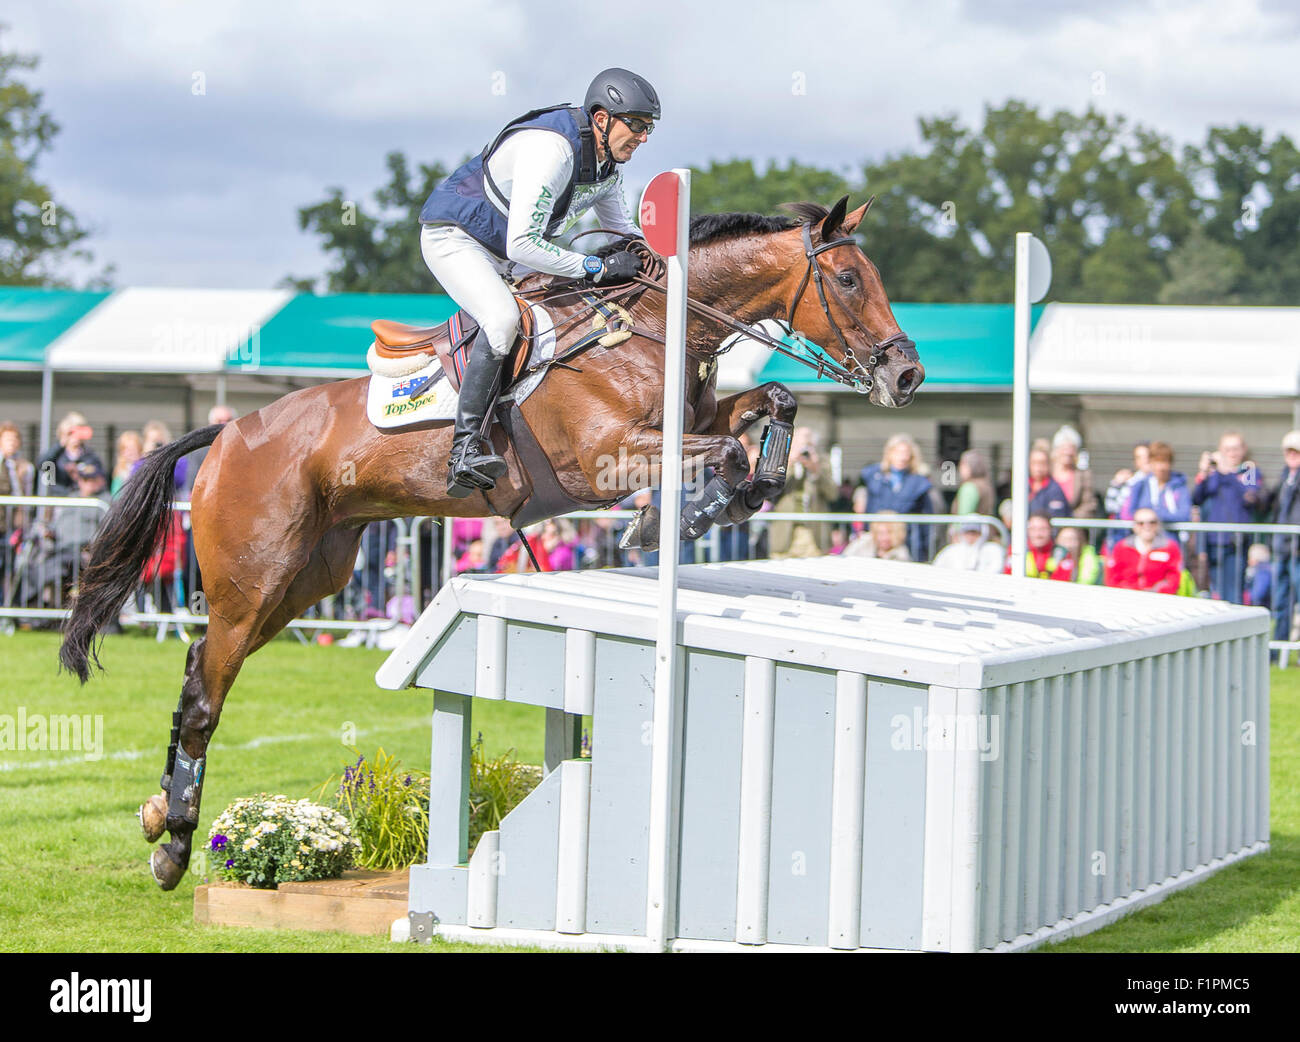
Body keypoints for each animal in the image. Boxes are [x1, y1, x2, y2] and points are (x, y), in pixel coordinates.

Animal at [58, 194, 924, 890]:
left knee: (198, 668)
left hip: (306, 582)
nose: (908, 376)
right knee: (208, 692)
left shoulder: (694, 418)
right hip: (253, 583)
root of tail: (228, 432)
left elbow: (771, 404)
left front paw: (731, 496)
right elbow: (727, 451)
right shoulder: (604, 458)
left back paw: (156, 815)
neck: (649, 328)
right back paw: (174, 845)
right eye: (850, 280)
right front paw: (677, 517)